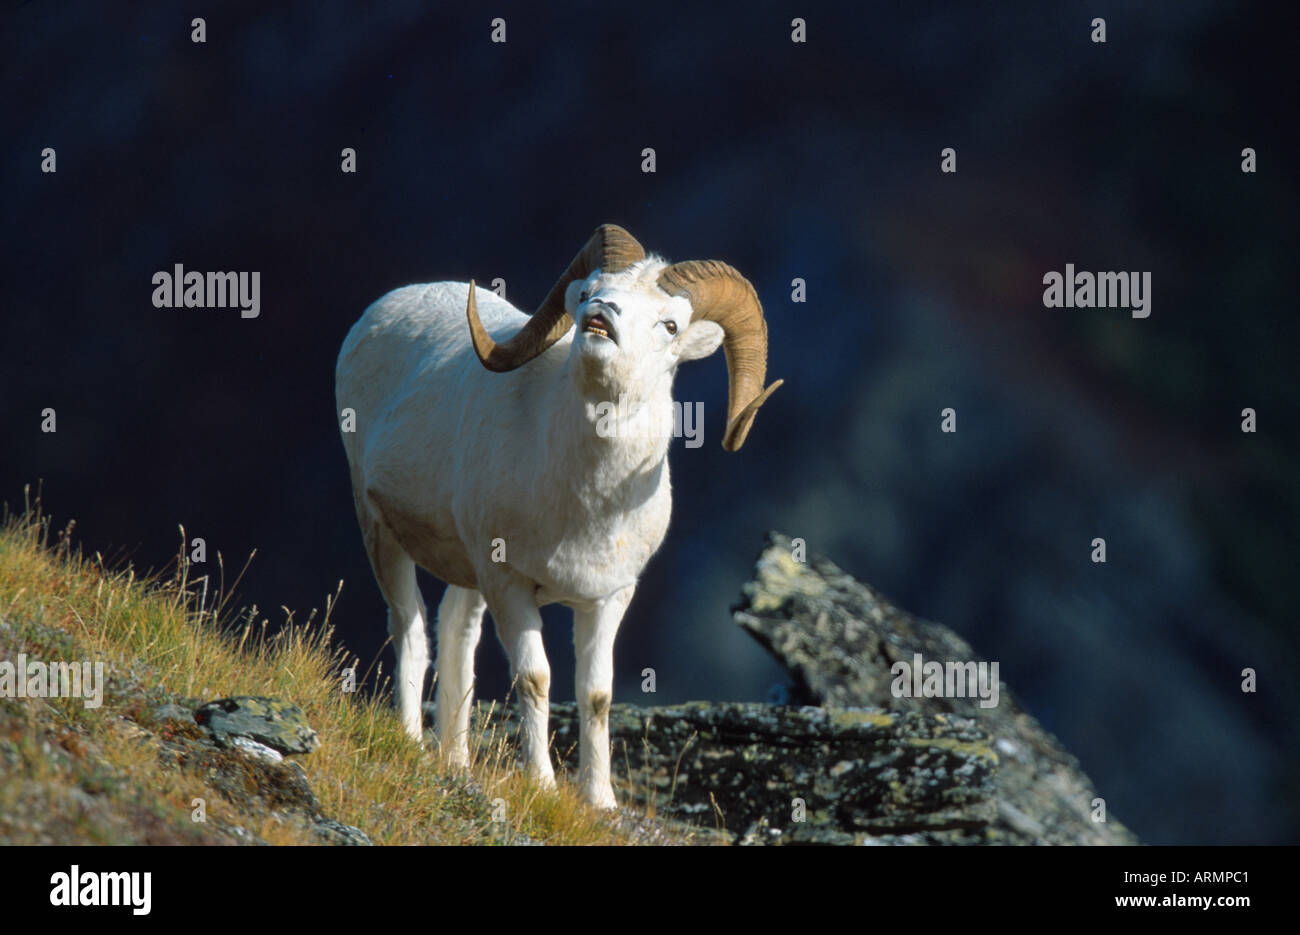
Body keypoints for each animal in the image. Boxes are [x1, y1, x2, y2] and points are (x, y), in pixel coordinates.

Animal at [335, 224, 782, 808]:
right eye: (591, 288)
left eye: (669, 325)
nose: (601, 314)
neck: (586, 504)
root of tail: (383, 310)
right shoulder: (511, 586)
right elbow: (535, 678)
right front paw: (543, 784)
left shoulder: (607, 599)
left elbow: (596, 694)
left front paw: (600, 800)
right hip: (381, 532)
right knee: (410, 630)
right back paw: (412, 742)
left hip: (468, 574)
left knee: (456, 635)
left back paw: (456, 761)